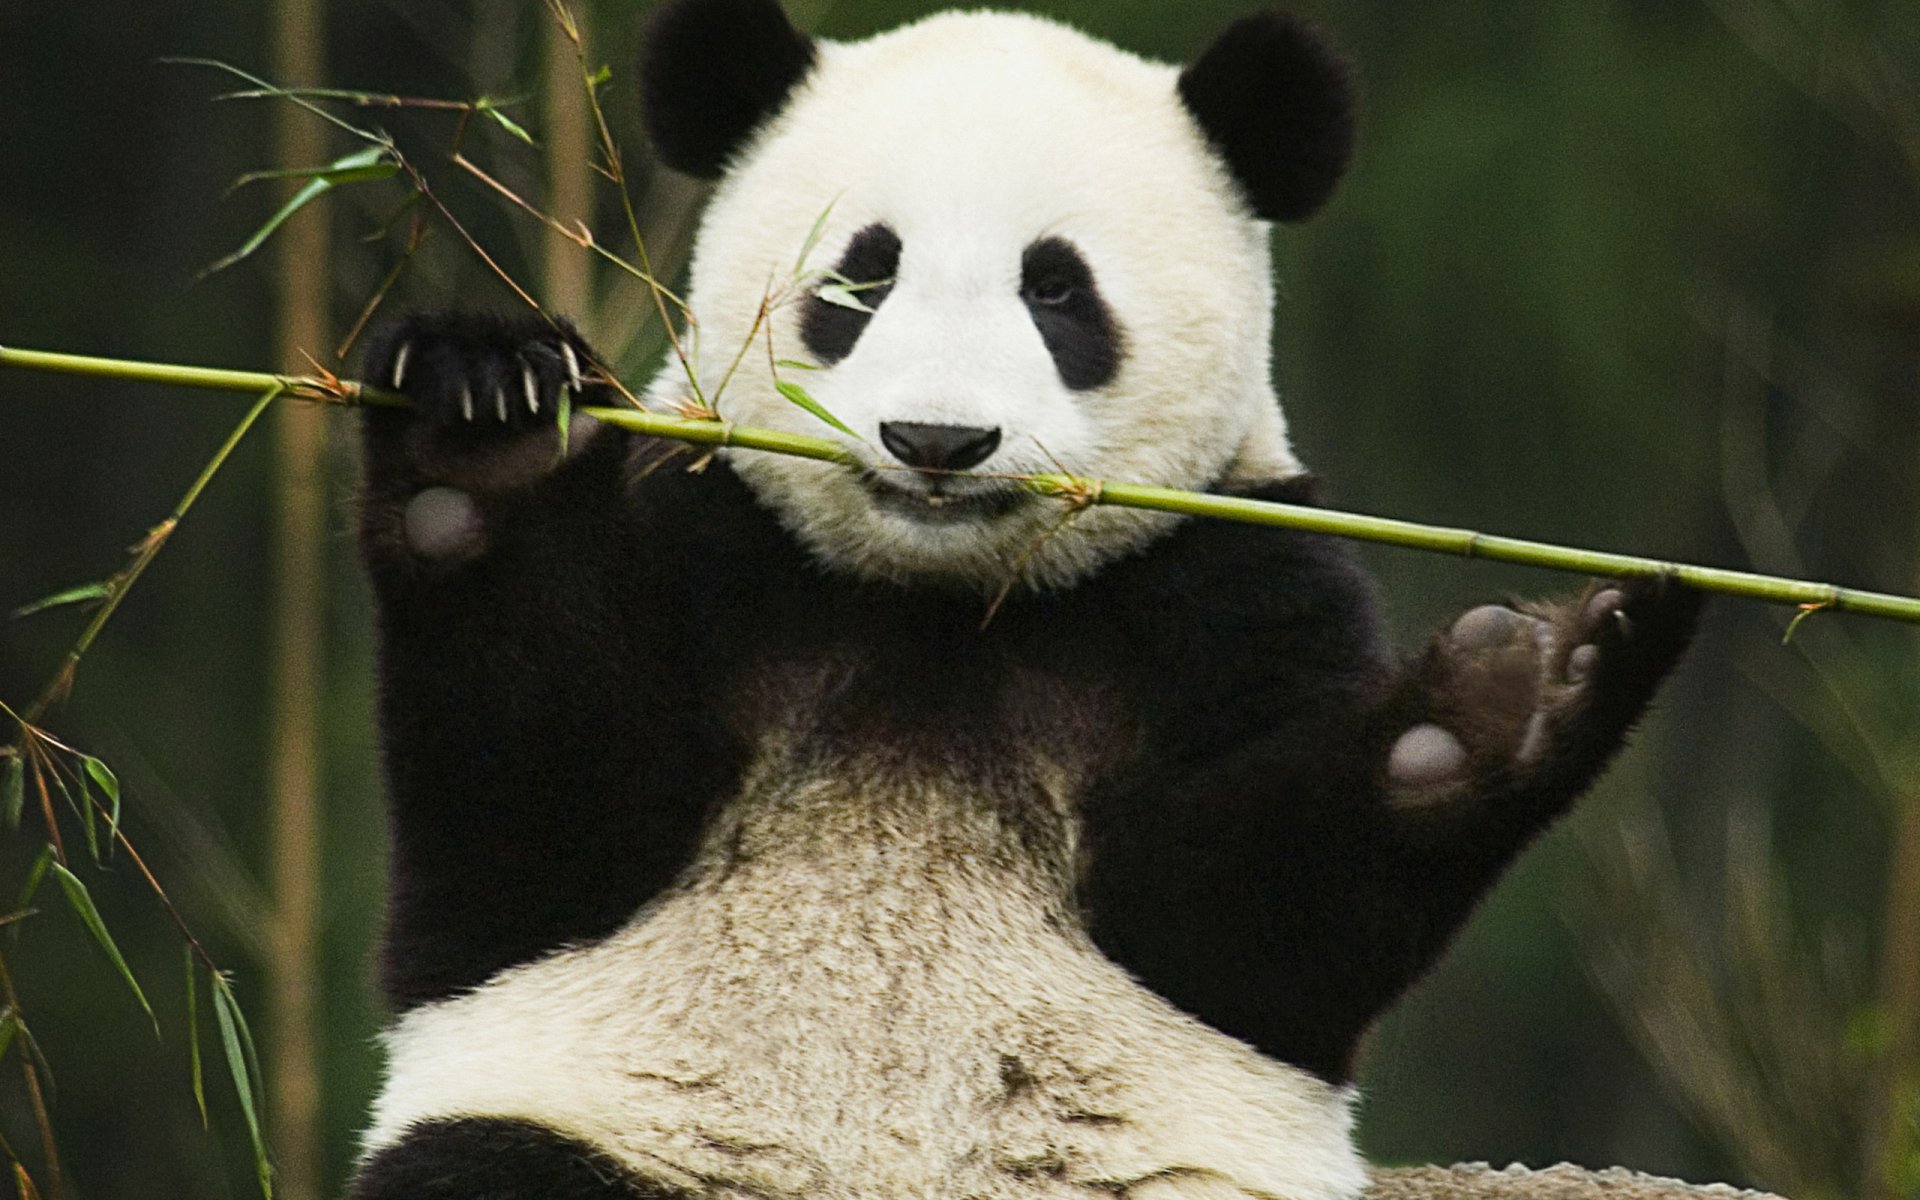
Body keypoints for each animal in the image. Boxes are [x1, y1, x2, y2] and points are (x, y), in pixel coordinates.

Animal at [348, 2, 1700, 1198]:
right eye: (861, 276)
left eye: (1058, 291)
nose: (937, 441)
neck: (944, 601)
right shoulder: (708, 537)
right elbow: (536, 826)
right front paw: (482, 432)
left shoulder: (1235, 589)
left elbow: (1256, 924)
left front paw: (1513, 698)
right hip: (602, 1133)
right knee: (480, 1169)